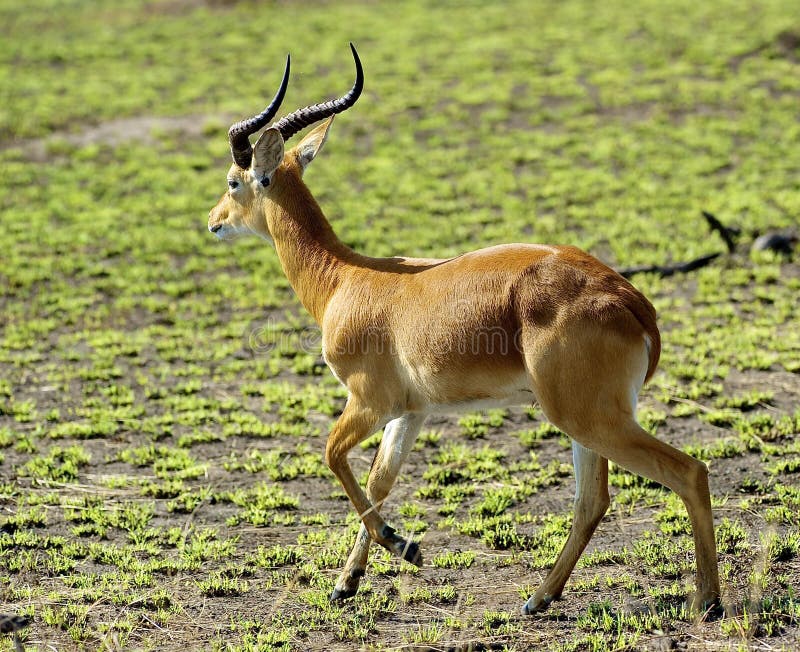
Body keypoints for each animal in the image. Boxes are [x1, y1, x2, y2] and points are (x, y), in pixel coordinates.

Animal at [207, 44, 721, 614]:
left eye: (234, 179)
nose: (213, 220)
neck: (346, 279)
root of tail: (633, 304)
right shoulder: (411, 412)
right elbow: (379, 480)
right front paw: (349, 580)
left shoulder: (368, 401)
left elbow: (333, 455)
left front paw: (403, 546)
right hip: (586, 420)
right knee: (593, 500)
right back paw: (539, 598)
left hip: (588, 417)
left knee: (688, 472)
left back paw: (708, 601)